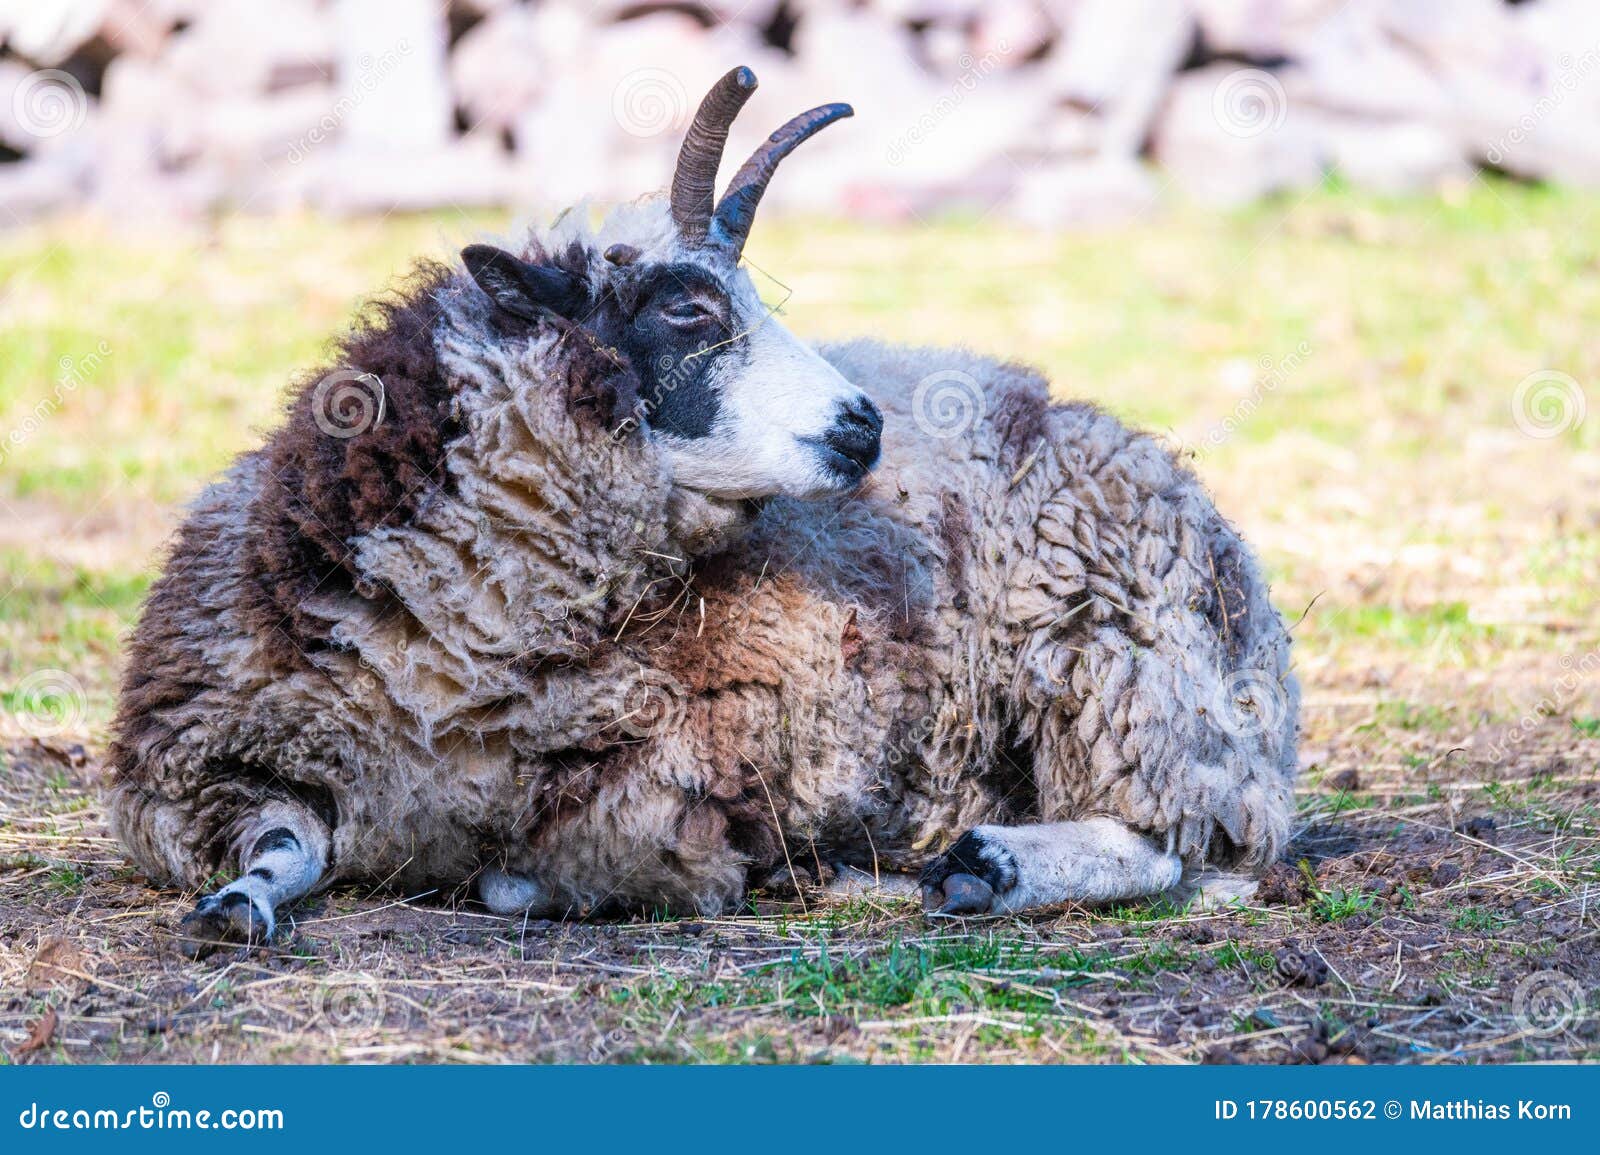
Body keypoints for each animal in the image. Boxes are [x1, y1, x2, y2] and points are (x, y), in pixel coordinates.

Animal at [106, 67, 1298, 953]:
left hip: (1121, 657)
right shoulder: (194, 766)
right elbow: (281, 843)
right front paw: (236, 907)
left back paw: (985, 868)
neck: (444, 668)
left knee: (1174, 840)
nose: (865, 425)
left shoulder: (679, 783)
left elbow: (528, 874)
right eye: (685, 309)